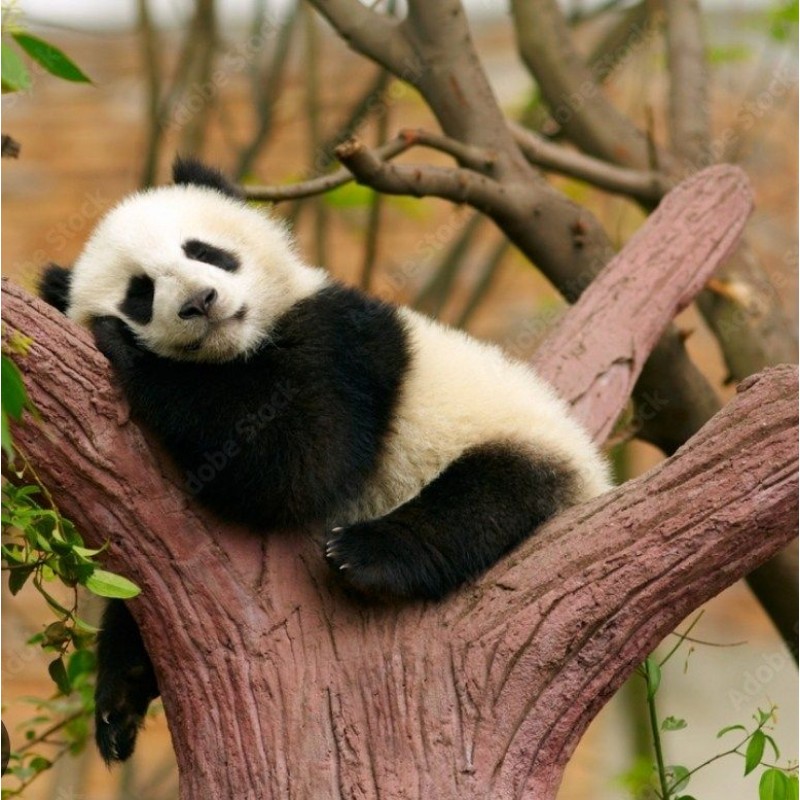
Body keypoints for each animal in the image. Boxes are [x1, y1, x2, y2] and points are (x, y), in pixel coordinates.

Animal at [39, 158, 611, 763]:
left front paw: (125, 348)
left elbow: (300, 462)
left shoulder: (340, 342)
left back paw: (366, 553)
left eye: (205, 251)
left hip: (519, 440)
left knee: (485, 497)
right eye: (140, 293)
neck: (237, 349)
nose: (200, 301)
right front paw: (119, 696)